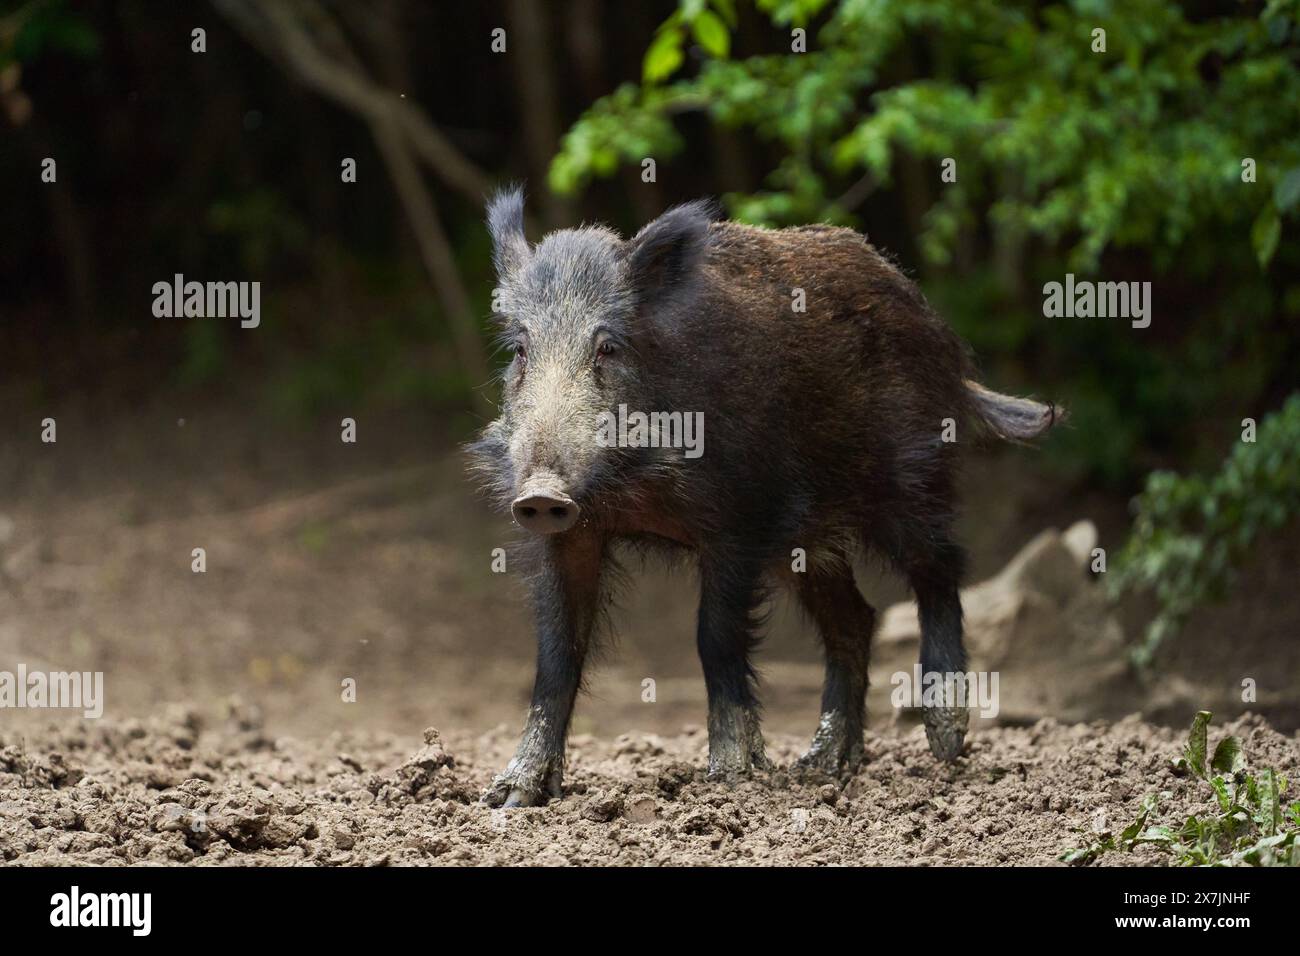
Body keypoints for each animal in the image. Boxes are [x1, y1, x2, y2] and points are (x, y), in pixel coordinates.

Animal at [469, 188, 1062, 807]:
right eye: (520, 350)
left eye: (607, 346)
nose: (541, 493)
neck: (633, 487)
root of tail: (941, 340)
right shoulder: (573, 534)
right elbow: (556, 653)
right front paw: (508, 798)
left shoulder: (738, 521)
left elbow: (714, 637)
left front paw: (731, 778)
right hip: (809, 539)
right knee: (857, 617)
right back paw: (819, 767)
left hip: (911, 477)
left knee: (941, 568)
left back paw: (944, 741)